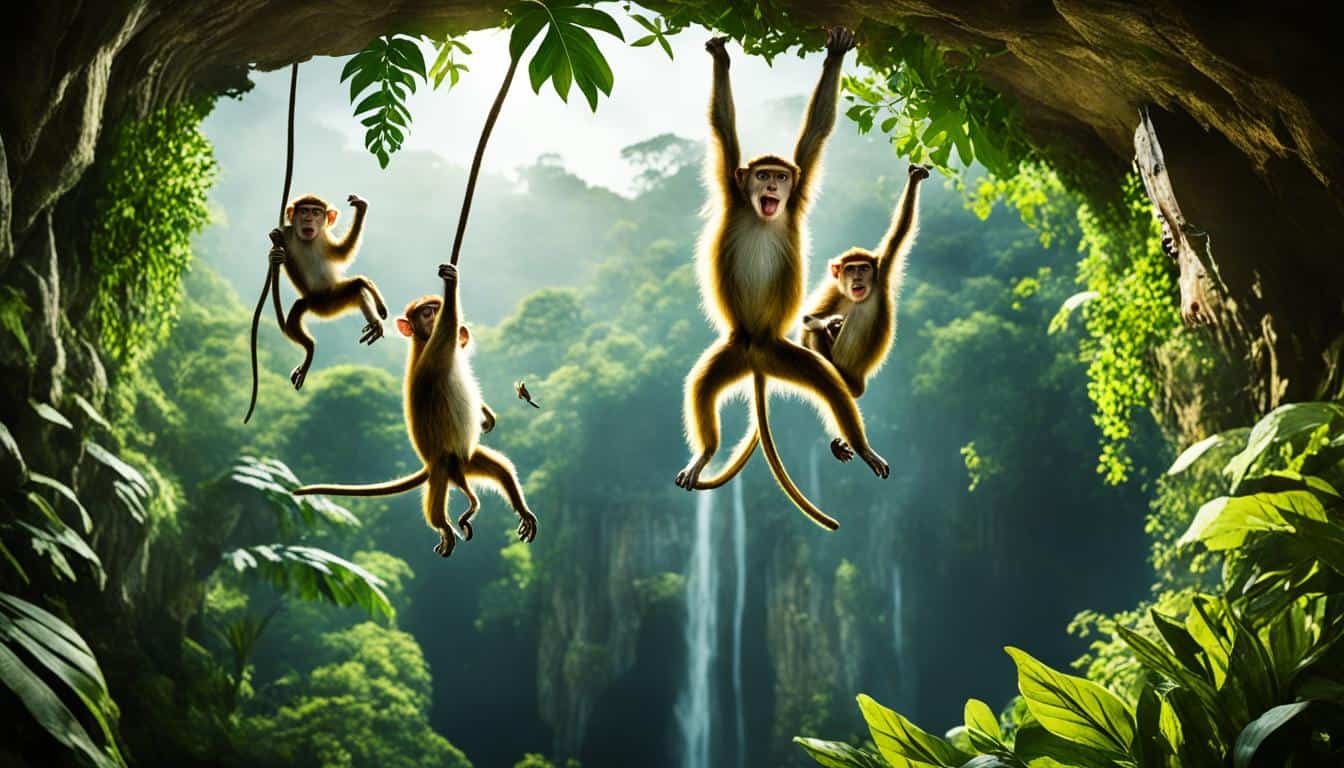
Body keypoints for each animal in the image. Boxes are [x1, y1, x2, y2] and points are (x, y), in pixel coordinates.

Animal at [267, 193, 389, 391]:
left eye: (316, 212)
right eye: (304, 211)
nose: (309, 219)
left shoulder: (324, 237)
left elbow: (342, 252)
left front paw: (361, 207)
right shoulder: (286, 233)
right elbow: (277, 243)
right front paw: (274, 255)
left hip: (333, 299)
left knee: (357, 286)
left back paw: (375, 312)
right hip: (320, 303)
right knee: (297, 312)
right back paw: (310, 349)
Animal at [294, 263, 536, 558]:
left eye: (433, 308)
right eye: (425, 312)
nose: (432, 314)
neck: (421, 342)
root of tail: (454, 469)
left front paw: (486, 415)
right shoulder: (433, 354)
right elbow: (448, 327)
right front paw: (451, 284)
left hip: (467, 459)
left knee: (501, 469)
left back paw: (517, 508)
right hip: (444, 461)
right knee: (438, 490)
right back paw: (442, 524)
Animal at [674, 27, 889, 532]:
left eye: (780, 177)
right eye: (763, 175)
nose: (772, 185)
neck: (763, 213)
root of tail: (757, 358)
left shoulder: (800, 186)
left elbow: (817, 132)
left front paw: (835, 56)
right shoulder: (733, 186)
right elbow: (722, 128)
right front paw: (721, 61)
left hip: (782, 352)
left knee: (831, 387)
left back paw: (862, 445)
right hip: (735, 349)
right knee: (700, 388)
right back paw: (704, 454)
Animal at [693, 163, 930, 479]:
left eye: (863, 268)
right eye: (851, 269)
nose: (857, 276)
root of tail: (855, 381)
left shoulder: (883, 269)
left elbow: (900, 230)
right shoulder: (835, 290)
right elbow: (810, 318)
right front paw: (828, 323)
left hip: (850, 380)